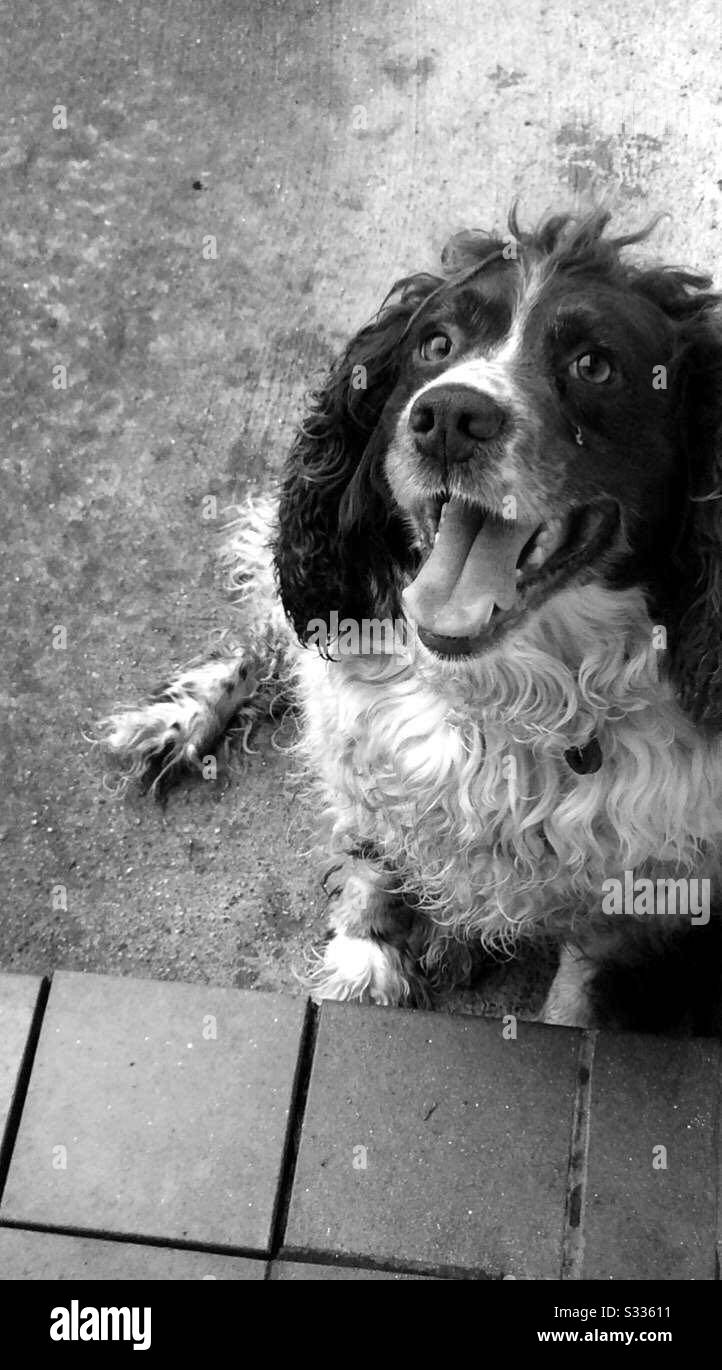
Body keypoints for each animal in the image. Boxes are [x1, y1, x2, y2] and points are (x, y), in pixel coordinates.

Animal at [97, 208, 722, 1030]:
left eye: (594, 365)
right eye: (437, 344)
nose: (450, 415)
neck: (517, 697)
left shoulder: (642, 896)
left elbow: (578, 997)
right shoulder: (368, 764)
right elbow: (373, 875)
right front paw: (365, 972)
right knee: (272, 635)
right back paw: (183, 720)